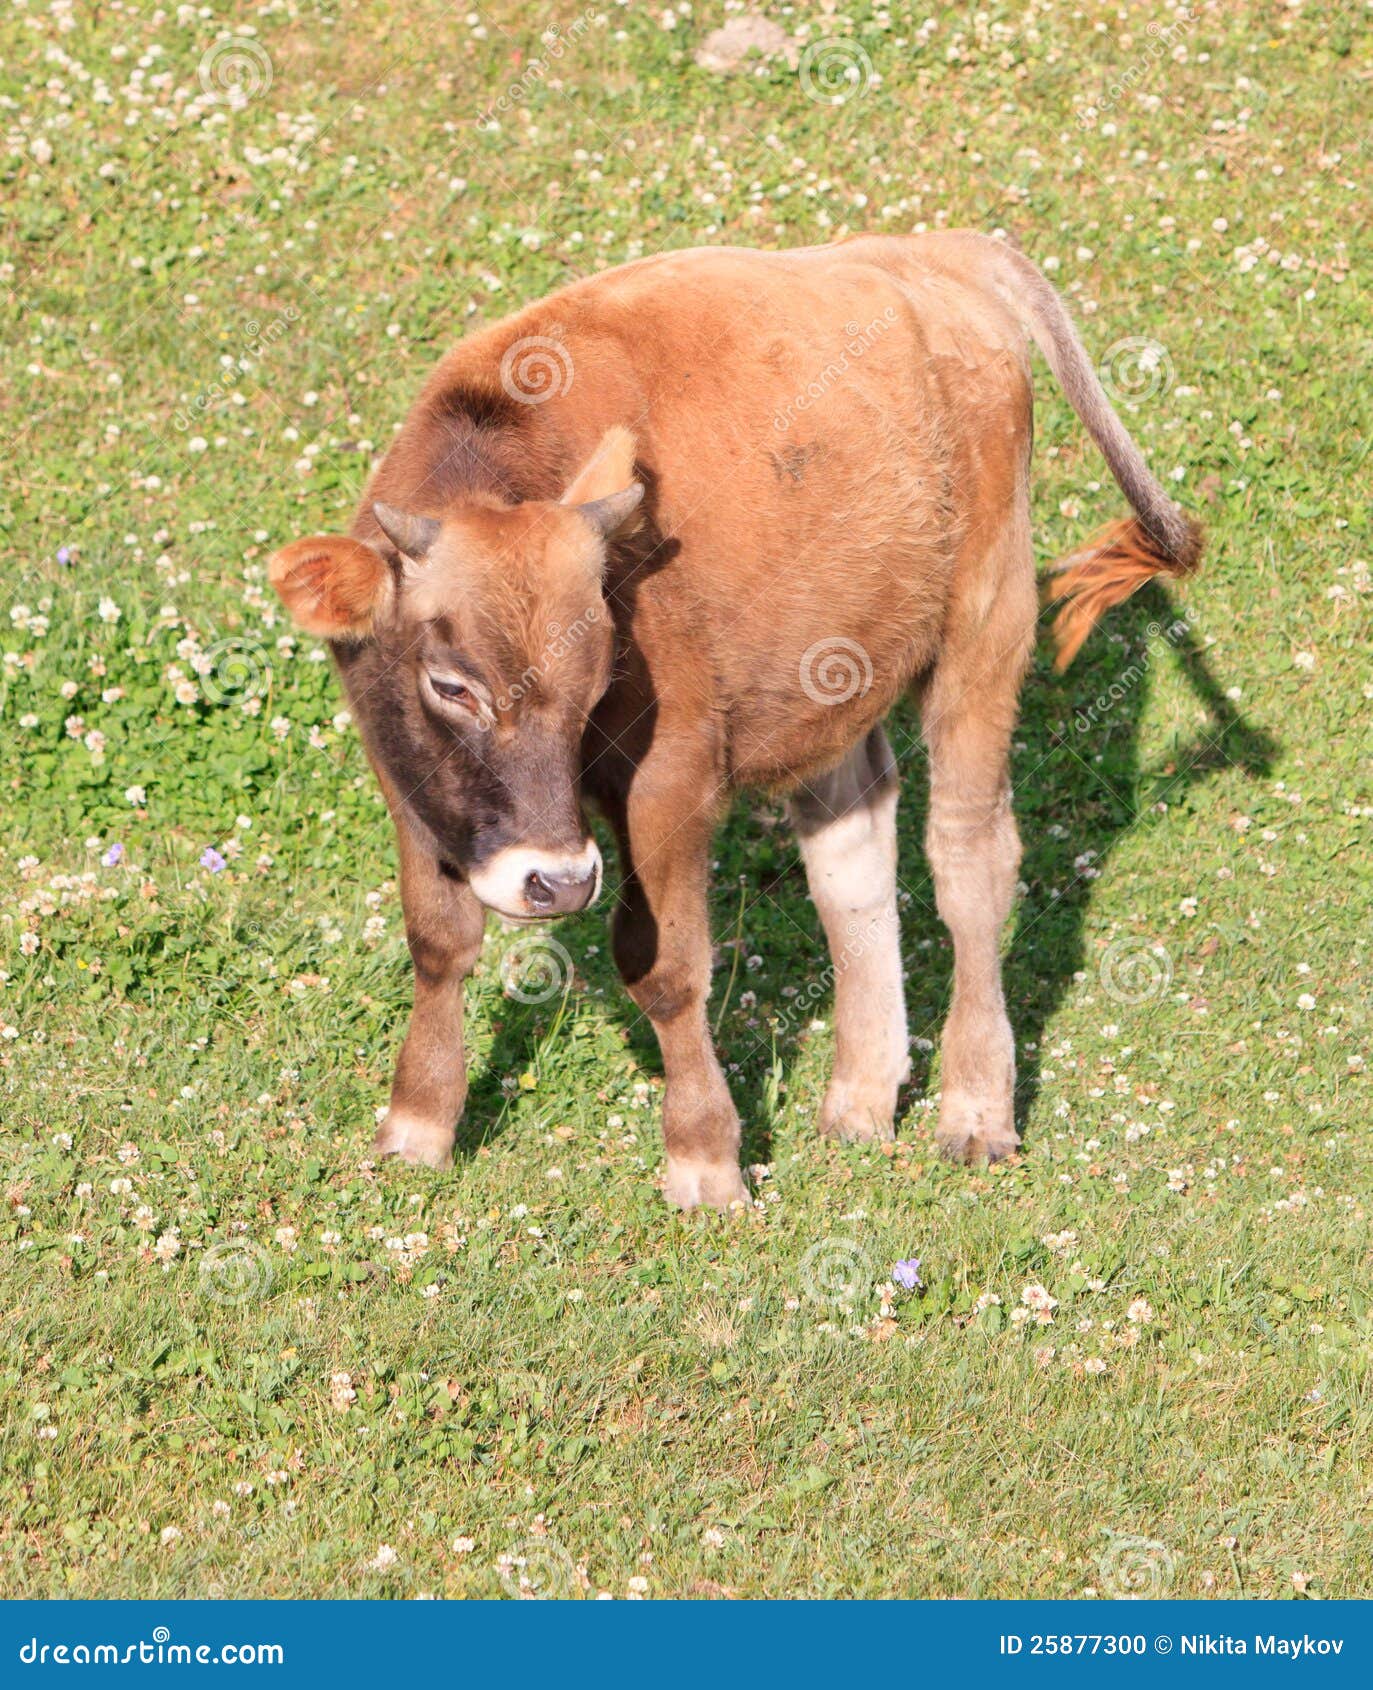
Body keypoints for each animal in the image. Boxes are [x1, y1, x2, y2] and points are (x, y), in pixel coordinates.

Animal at [269, 231, 1202, 1209]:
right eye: (451, 685)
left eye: (597, 677)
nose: (557, 883)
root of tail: (931, 249)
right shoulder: (413, 786)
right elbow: (439, 940)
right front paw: (417, 1124)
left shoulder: (669, 783)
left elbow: (664, 968)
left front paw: (704, 1160)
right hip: (837, 678)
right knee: (853, 861)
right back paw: (859, 1101)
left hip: (984, 626)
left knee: (968, 860)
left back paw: (976, 1110)